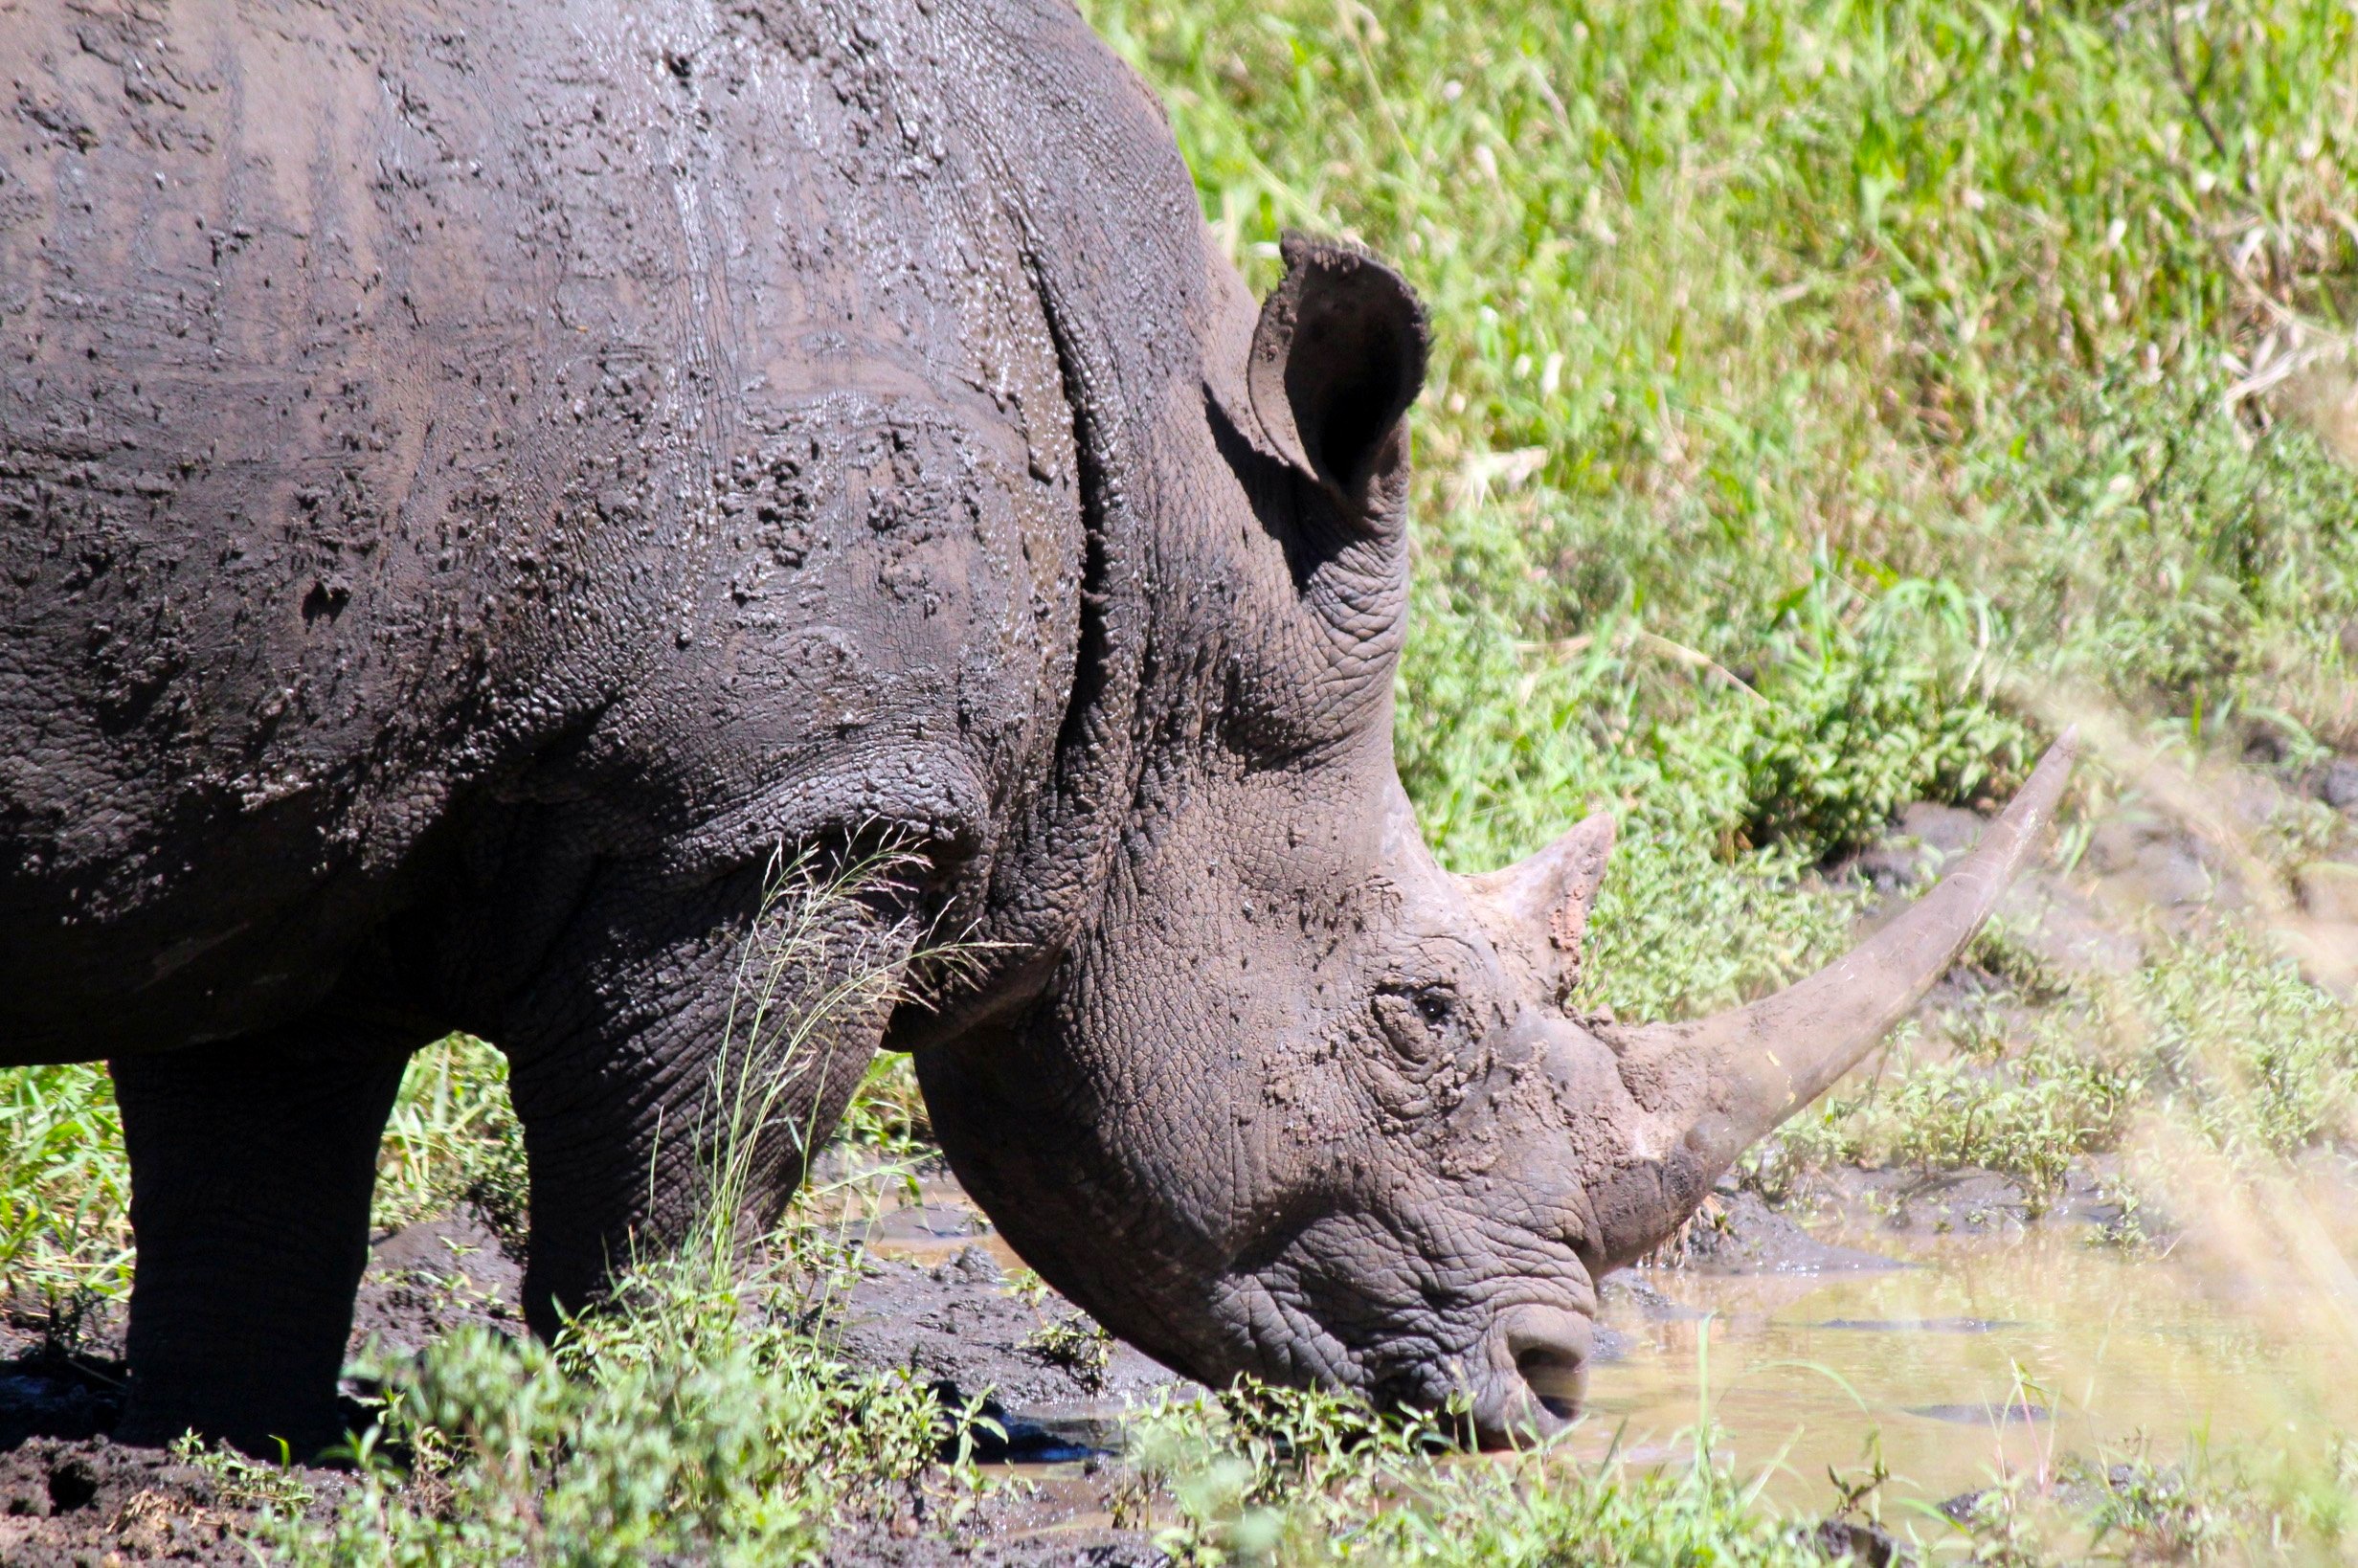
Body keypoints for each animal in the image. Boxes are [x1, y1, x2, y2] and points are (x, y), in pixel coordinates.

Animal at [0, 0, 2072, 1454]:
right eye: (1420, 1015)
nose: (1556, 1383)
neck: (1174, 541)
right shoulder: (782, 815)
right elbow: (699, 1180)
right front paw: (651, 1435)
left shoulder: (313, 771)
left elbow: (254, 1161)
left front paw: (219, 1438)